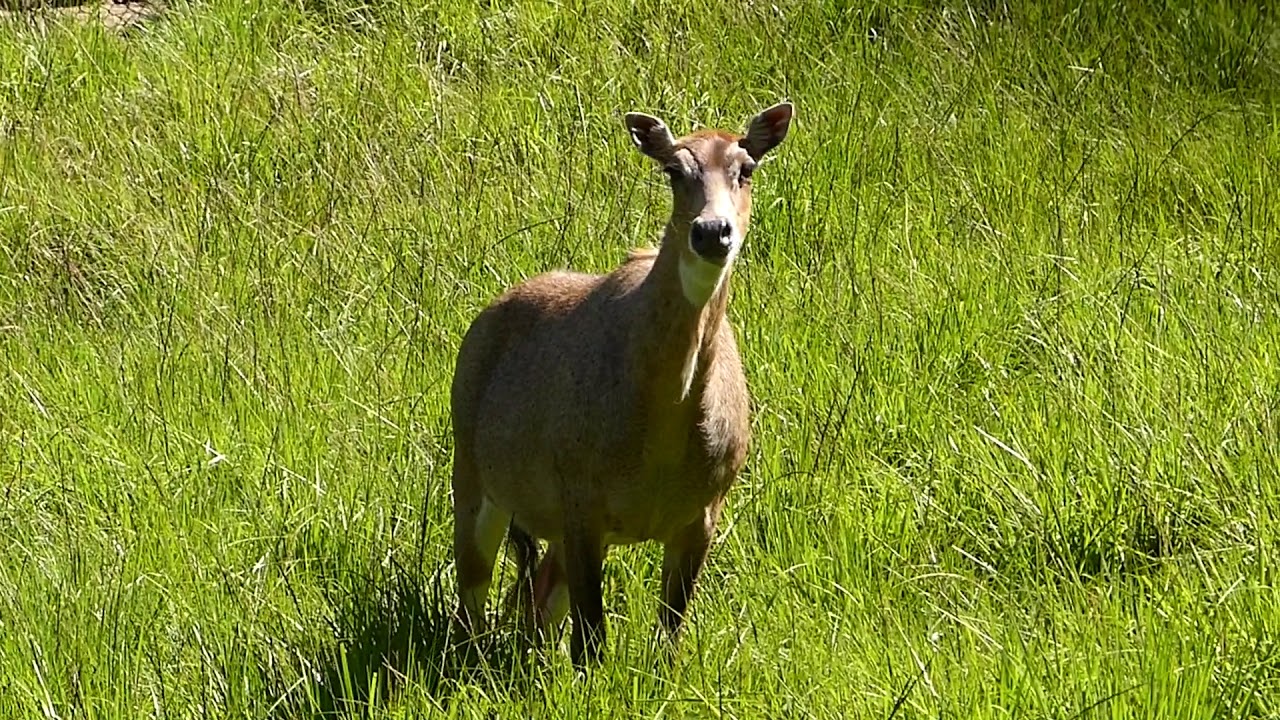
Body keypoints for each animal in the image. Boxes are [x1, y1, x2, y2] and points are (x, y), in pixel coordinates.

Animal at [448, 102, 794, 665]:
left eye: (747, 168)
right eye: (674, 169)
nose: (711, 231)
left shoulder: (703, 512)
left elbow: (668, 635)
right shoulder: (580, 499)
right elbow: (591, 639)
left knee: (539, 596)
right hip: (474, 476)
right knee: (473, 597)